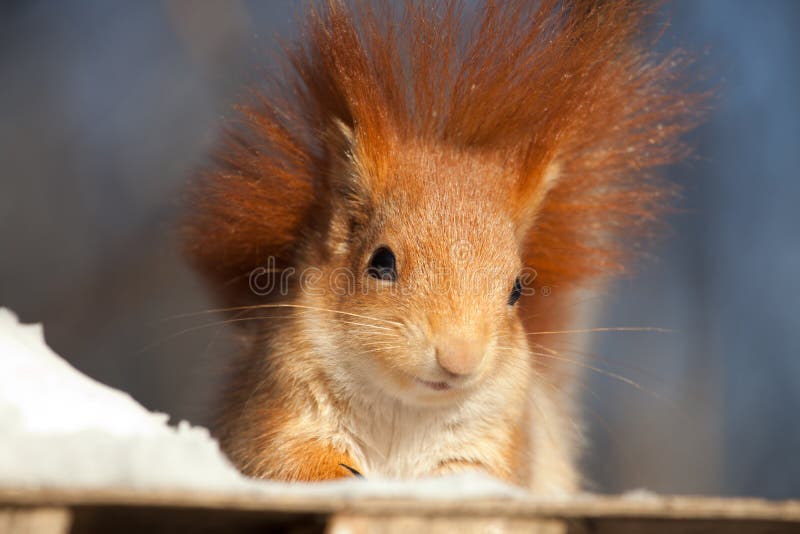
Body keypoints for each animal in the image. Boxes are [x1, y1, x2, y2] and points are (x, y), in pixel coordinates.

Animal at [183, 0, 704, 493]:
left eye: (517, 289)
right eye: (381, 262)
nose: (459, 359)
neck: (404, 409)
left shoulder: (500, 439)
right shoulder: (277, 406)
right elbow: (286, 462)